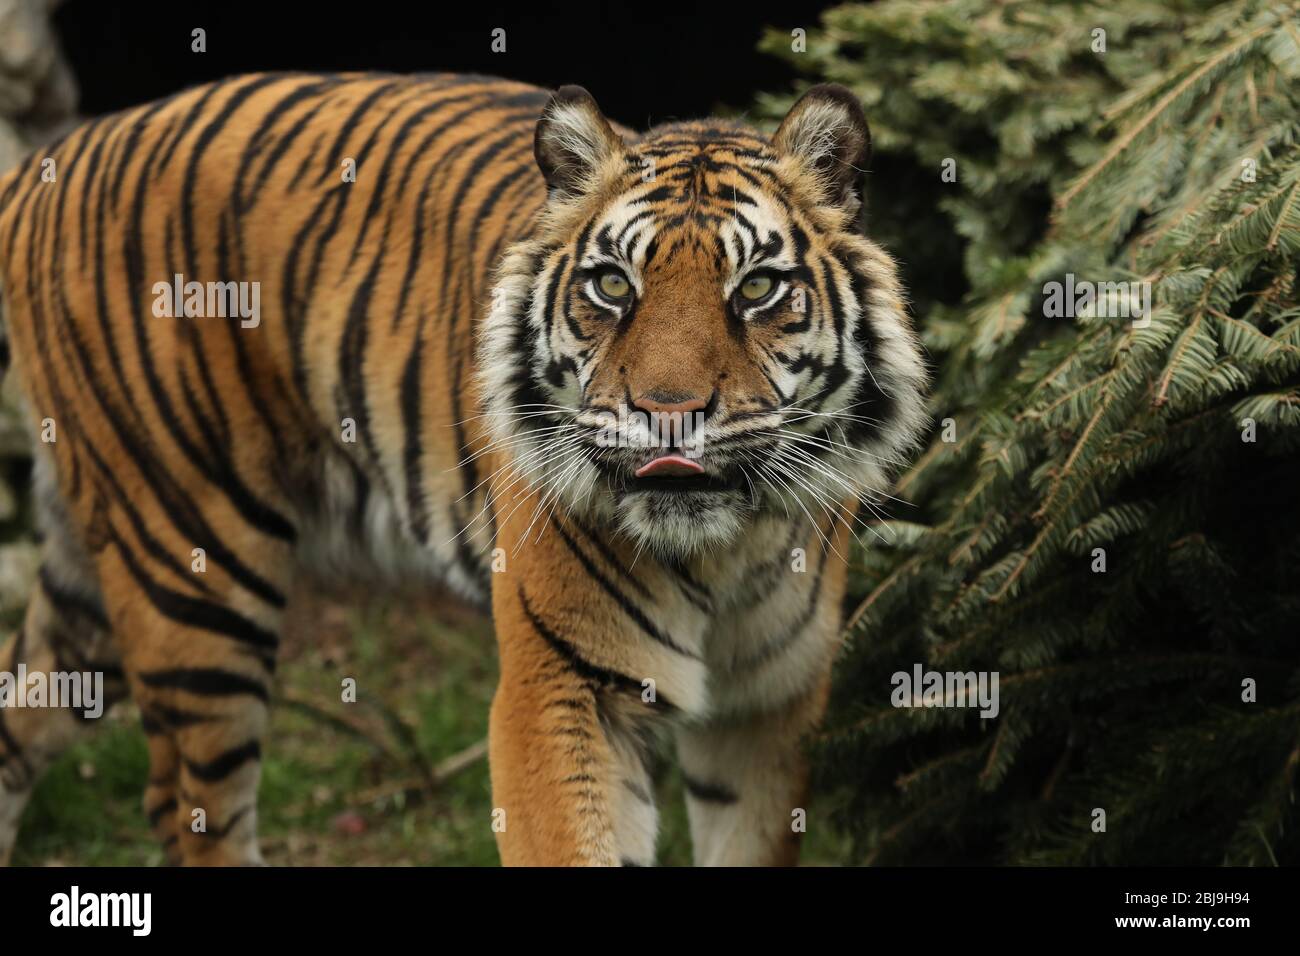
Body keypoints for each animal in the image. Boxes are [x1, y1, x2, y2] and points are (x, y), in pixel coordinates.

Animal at [0, 72, 927, 866]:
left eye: (758, 289)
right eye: (612, 285)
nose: (668, 411)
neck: (725, 551)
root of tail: (58, 158)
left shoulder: (768, 705)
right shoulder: (561, 689)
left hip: (102, 578)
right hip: (194, 568)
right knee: (191, 807)